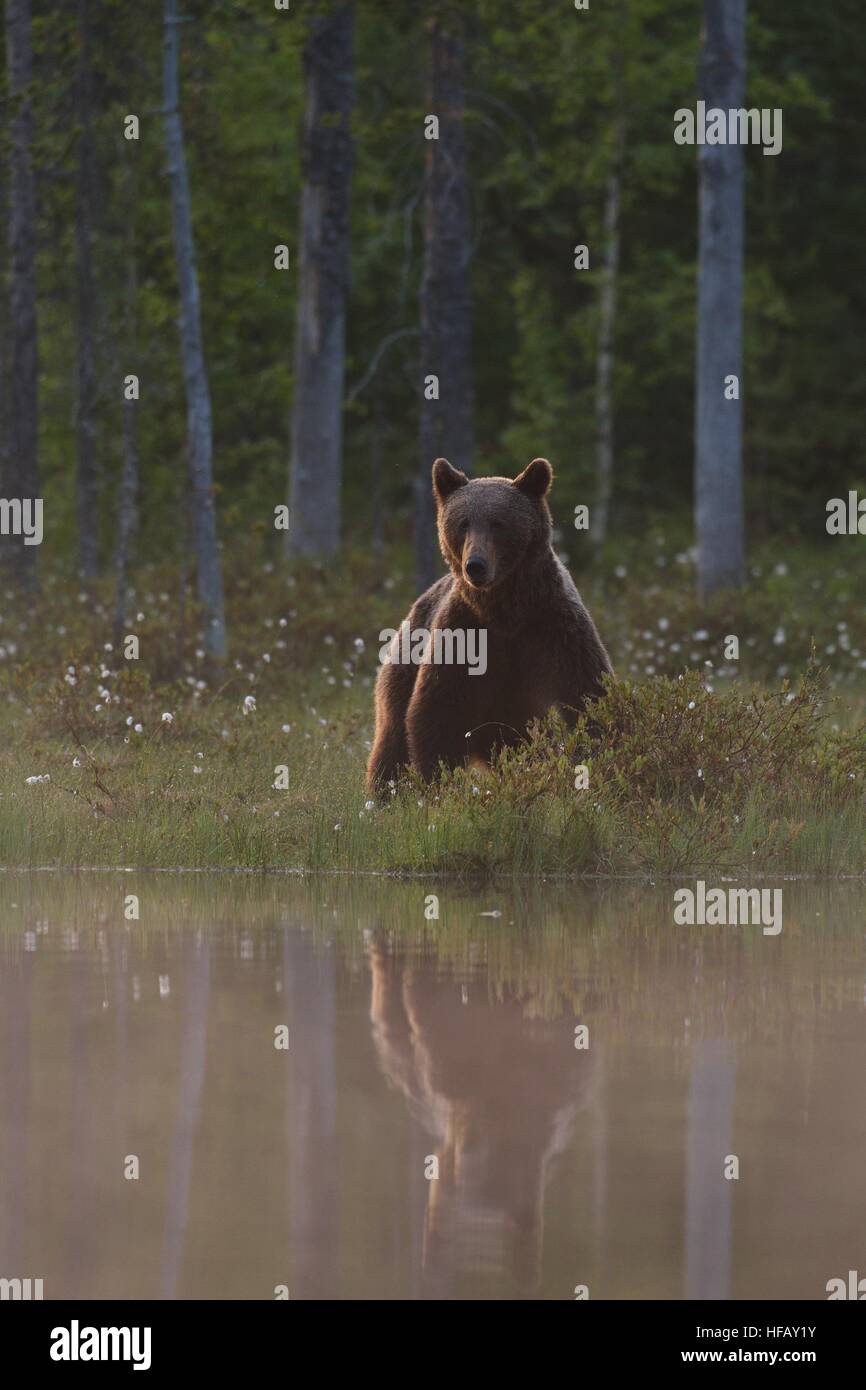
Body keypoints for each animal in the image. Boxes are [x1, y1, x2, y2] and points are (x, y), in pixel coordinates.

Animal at [366, 456, 612, 791]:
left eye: (498, 523)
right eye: (463, 523)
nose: (476, 565)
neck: (505, 612)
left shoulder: (554, 625)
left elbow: (587, 692)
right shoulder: (464, 634)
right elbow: (436, 712)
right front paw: (437, 781)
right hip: (404, 665)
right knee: (392, 738)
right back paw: (383, 792)